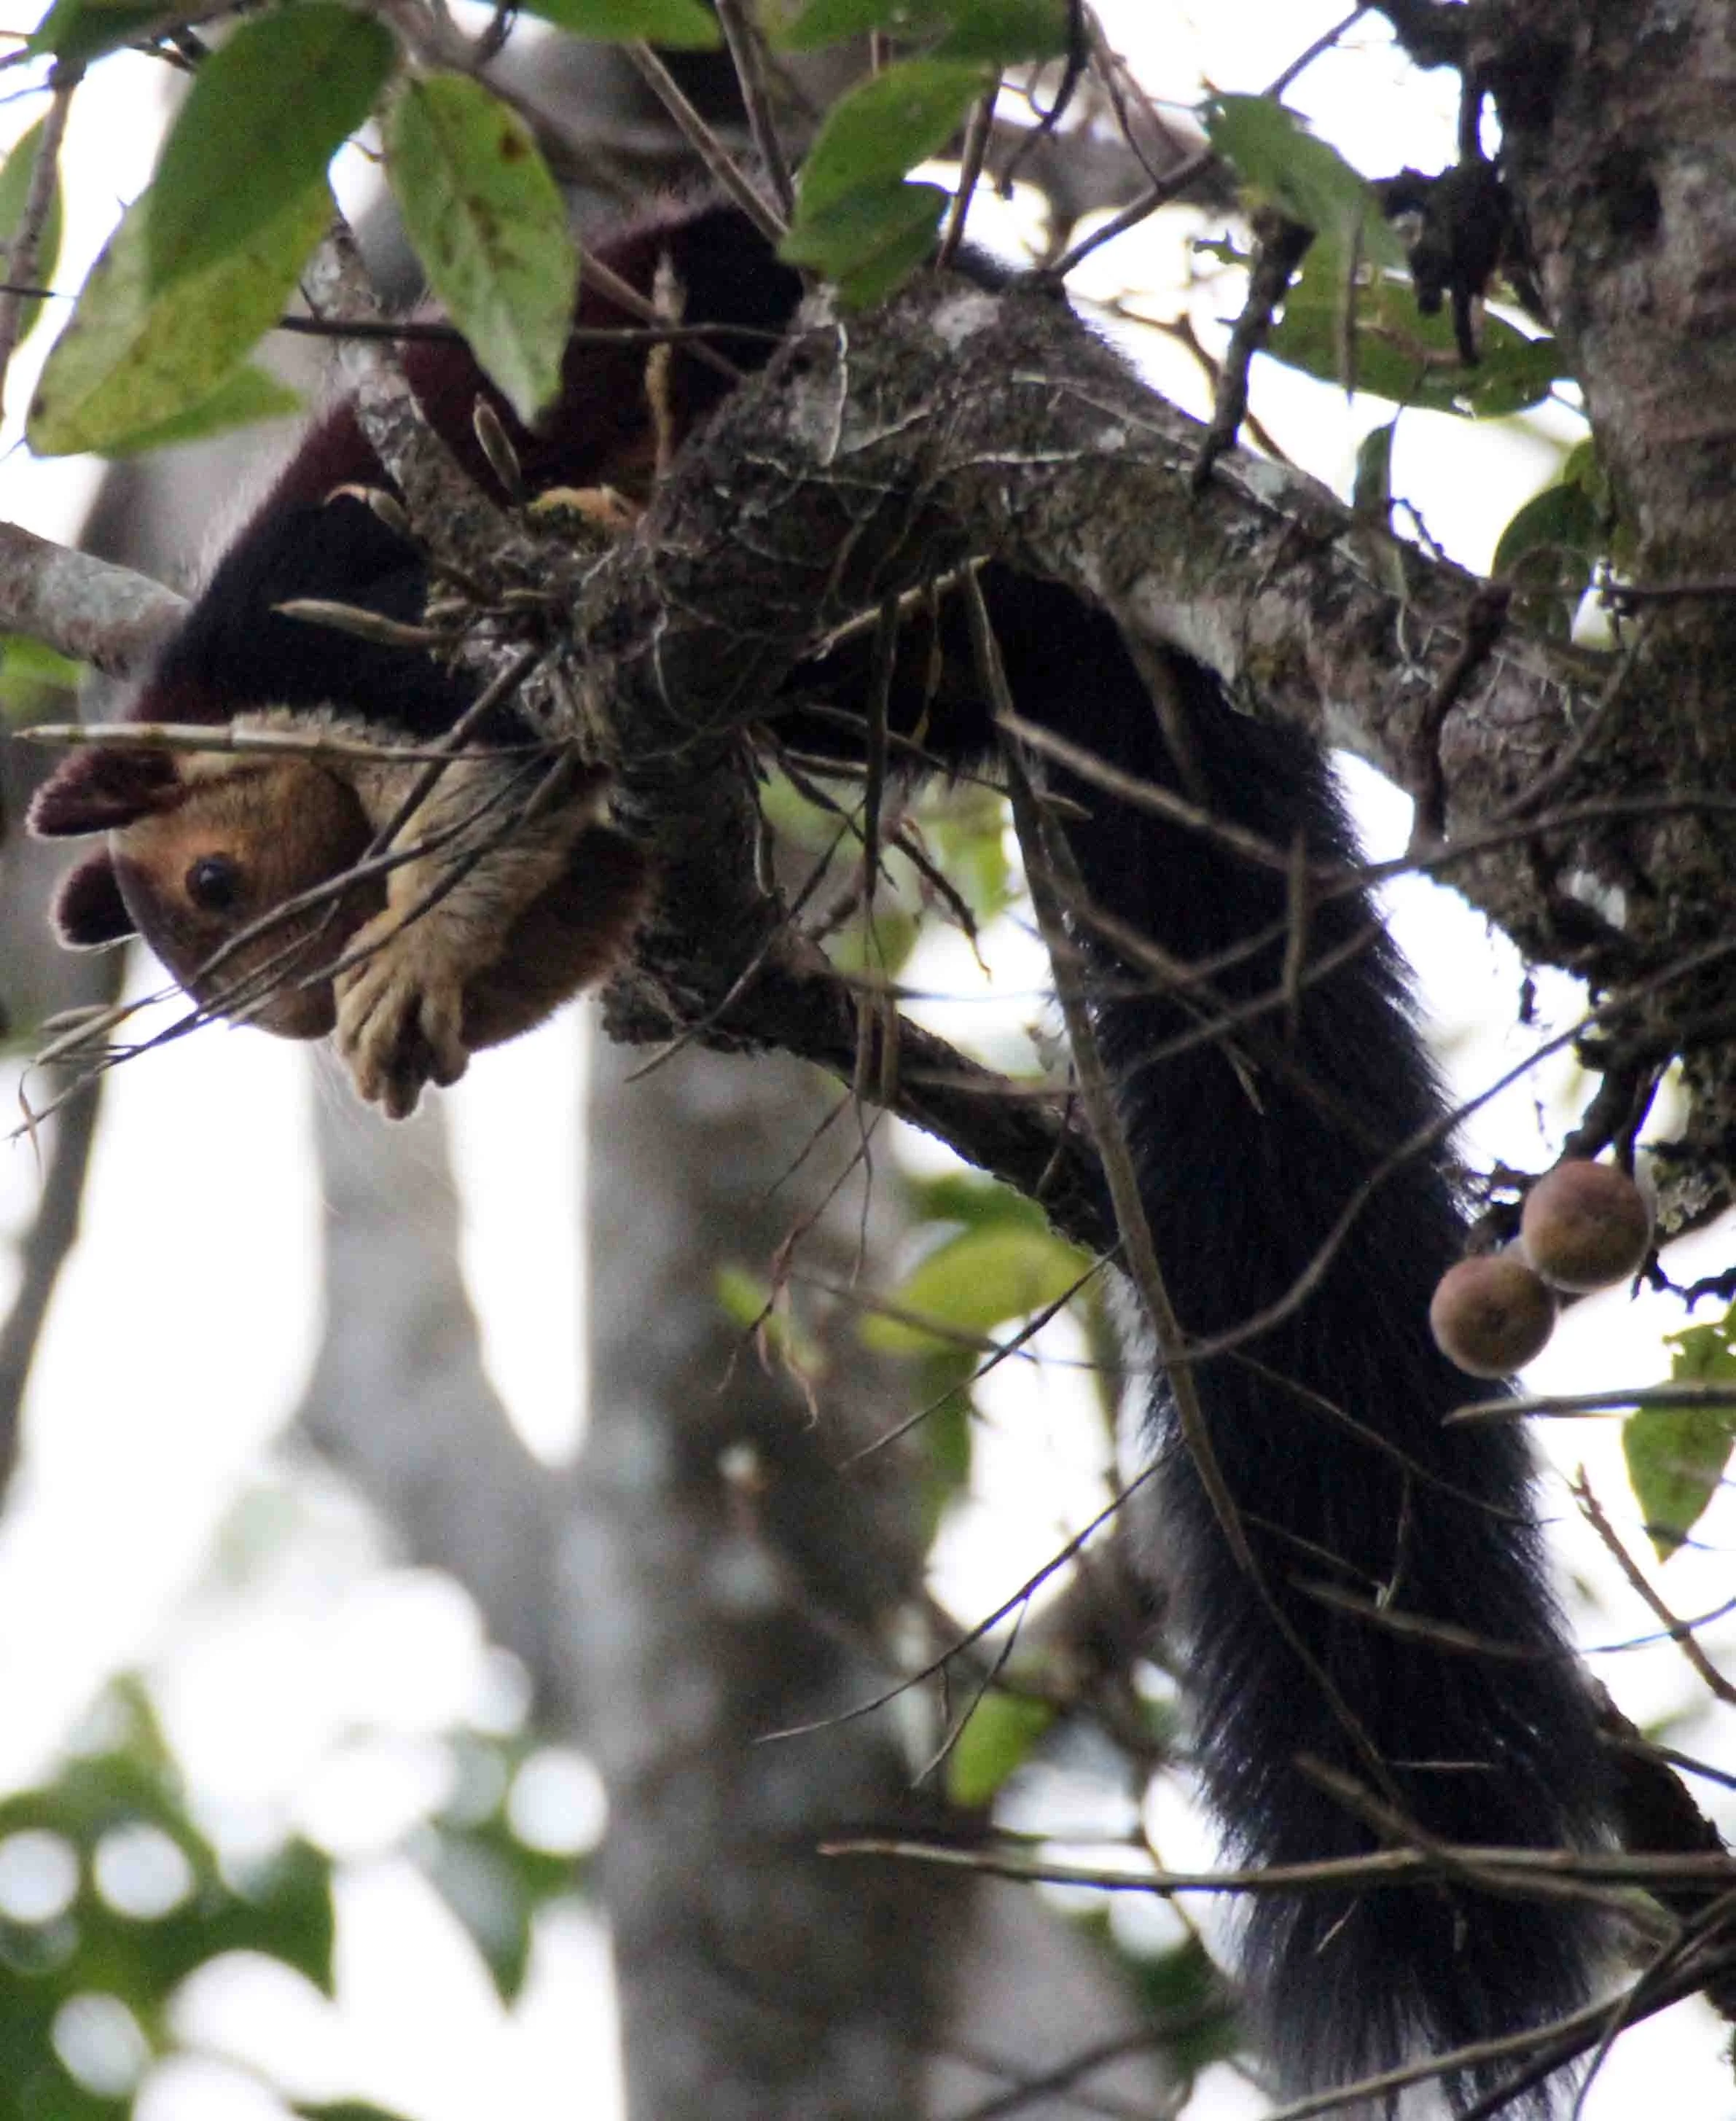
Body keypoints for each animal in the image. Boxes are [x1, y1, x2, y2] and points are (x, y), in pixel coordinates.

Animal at [30, 198, 1612, 2107]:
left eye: (214, 881)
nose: (315, 989)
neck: (248, 700)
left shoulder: (373, 619)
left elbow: (507, 744)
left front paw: (428, 939)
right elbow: (581, 855)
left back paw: (619, 514)